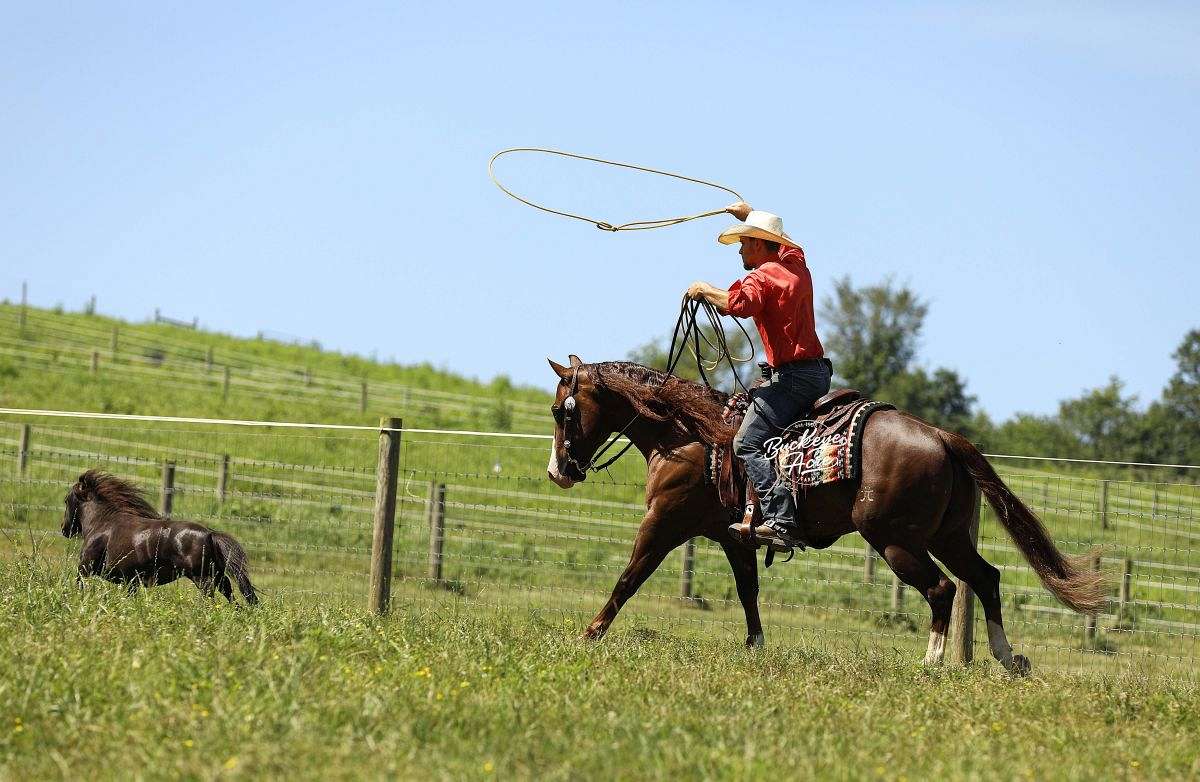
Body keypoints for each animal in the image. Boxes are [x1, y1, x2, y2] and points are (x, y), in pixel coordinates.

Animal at [62, 469, 259, 605]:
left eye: (66, 500)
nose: (64, 530)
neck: (102, 523)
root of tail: (210, 534)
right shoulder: (130, 581)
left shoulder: (86, 567)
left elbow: (78, 583)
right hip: (217, 575)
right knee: (231, 595)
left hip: (202, 577)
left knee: (210, 597)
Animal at [545, 355, 1103, 674]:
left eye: (561, 410)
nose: (558, 472)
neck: (687, 434)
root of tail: (942, 437)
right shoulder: (732, 535)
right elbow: (748, 591)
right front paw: (755, 646)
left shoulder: (663, 521)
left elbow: (628, 578)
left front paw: (591, 633)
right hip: (947, 536)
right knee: (986, 578)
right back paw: (1008, 659)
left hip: (896, 540)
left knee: (943, 589)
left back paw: (933, 663)